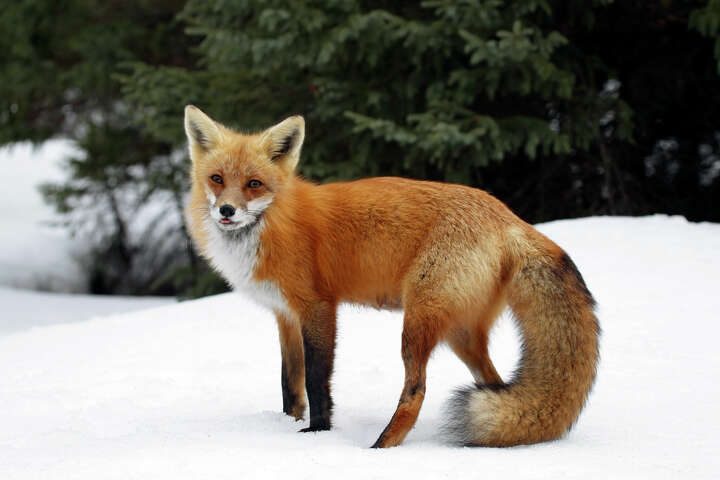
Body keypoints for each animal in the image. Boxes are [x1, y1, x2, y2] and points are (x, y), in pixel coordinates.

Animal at [183, 105, 599, 448]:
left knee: (417, 390)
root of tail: (510, 218)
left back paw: (382, 446)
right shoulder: (285, 314)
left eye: (253, 184)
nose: (226, 210)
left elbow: (316, 379)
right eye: (217, 178)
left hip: (417, 324)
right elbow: (290, 382)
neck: (274, 222)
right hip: (461, 334)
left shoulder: (318, 308)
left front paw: (318, 431)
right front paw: (286, 424)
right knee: (495, 384)